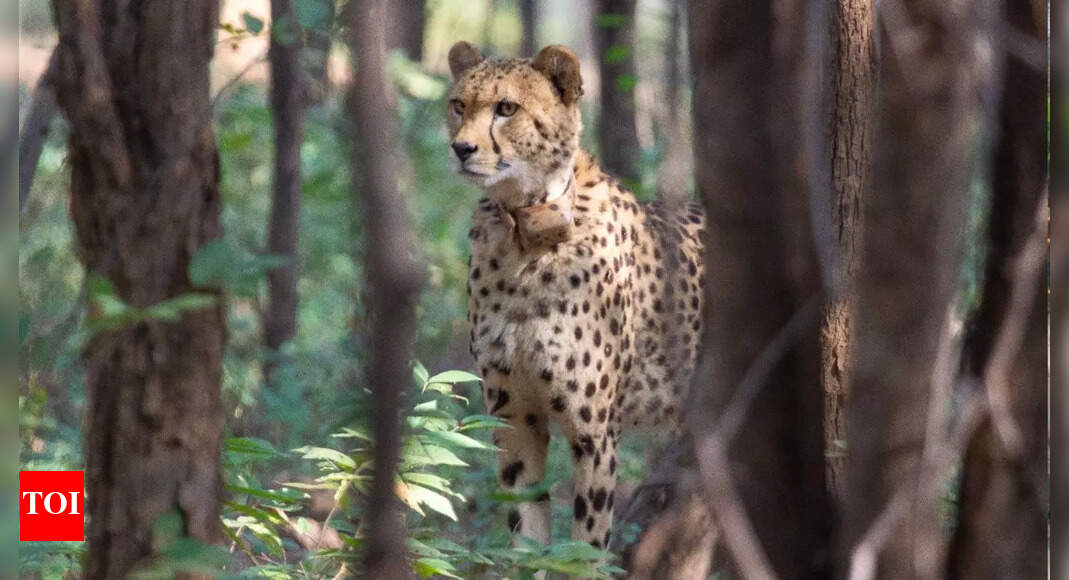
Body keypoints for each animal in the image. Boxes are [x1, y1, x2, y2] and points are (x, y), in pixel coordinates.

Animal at [446, 41, 706, 552]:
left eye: (507, 108)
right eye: (458, 106)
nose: (462, 148)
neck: (527, 233)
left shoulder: (595, 433)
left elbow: (585, 544)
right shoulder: (514, 419)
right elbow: (525, 538)